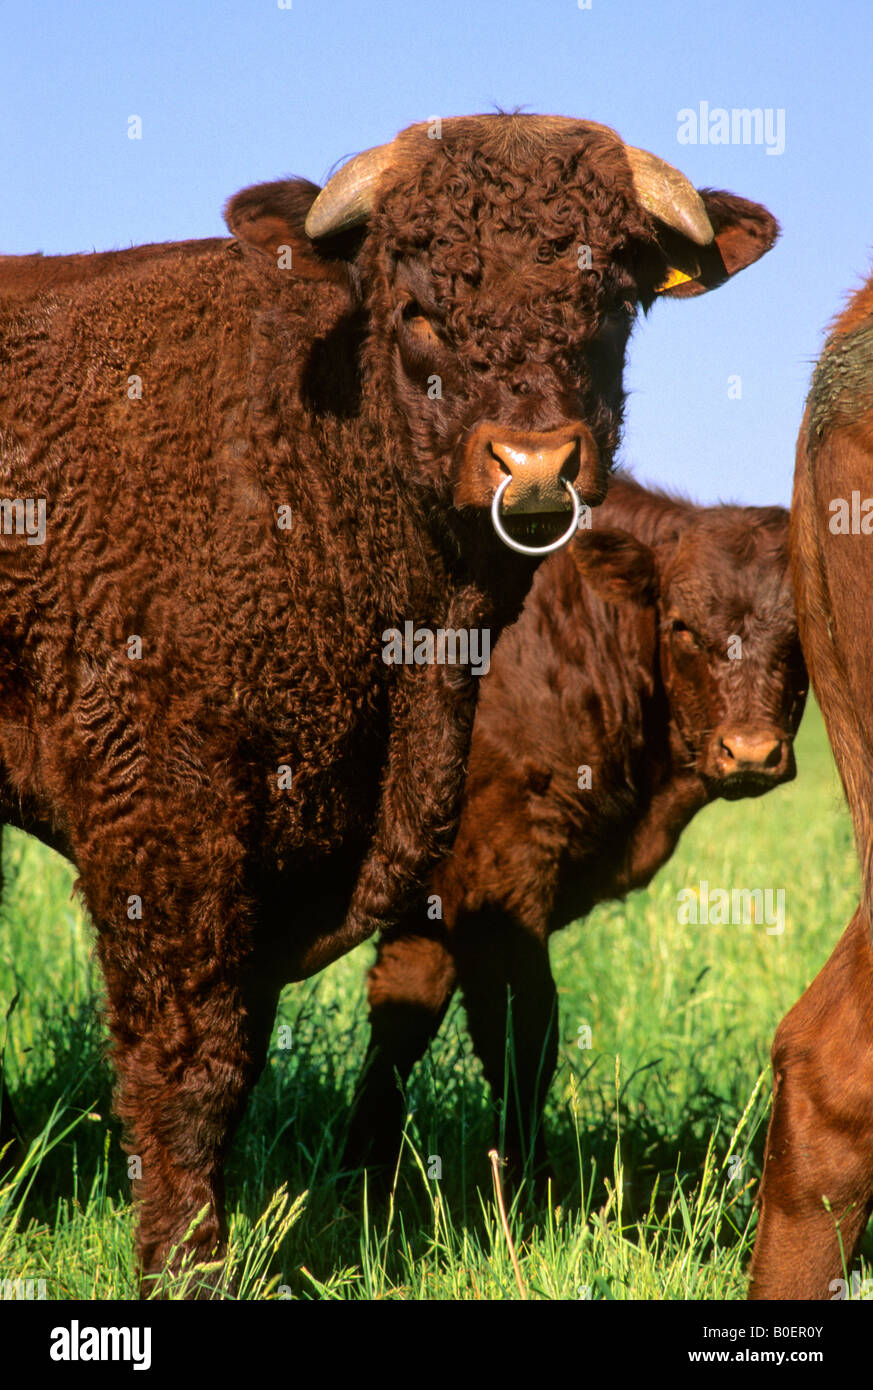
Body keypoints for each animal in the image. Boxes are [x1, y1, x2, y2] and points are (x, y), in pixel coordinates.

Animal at [344, 474, 807, 1187]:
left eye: (800, 633)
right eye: (682, 627)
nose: (751, 752)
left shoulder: (431, 899)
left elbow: (401, 1015)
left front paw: (358, 1179)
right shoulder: (498, 870)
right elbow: (523, 1030)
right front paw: (521, 1195)